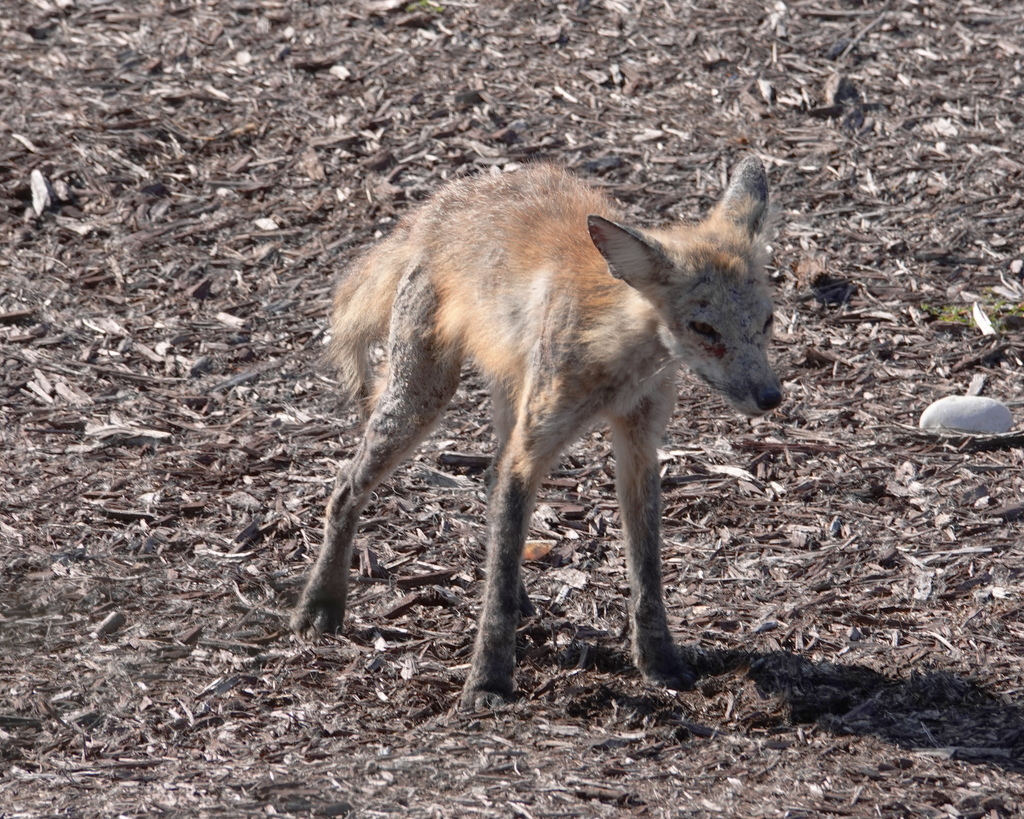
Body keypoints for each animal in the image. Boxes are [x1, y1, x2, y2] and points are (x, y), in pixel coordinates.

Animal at [292, 157, 783, 709]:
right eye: (705, 329)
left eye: (767, 321)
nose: (770, 397)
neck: (616, 359)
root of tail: (434, 211)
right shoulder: (534, 446)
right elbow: (501, 579)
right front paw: (488, 680)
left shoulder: (640, 443)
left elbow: (646, 568)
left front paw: (659, 661)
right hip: (422, 401)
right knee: (344, 488)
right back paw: (321, 604)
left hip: (506, 397)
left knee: (490, 486)